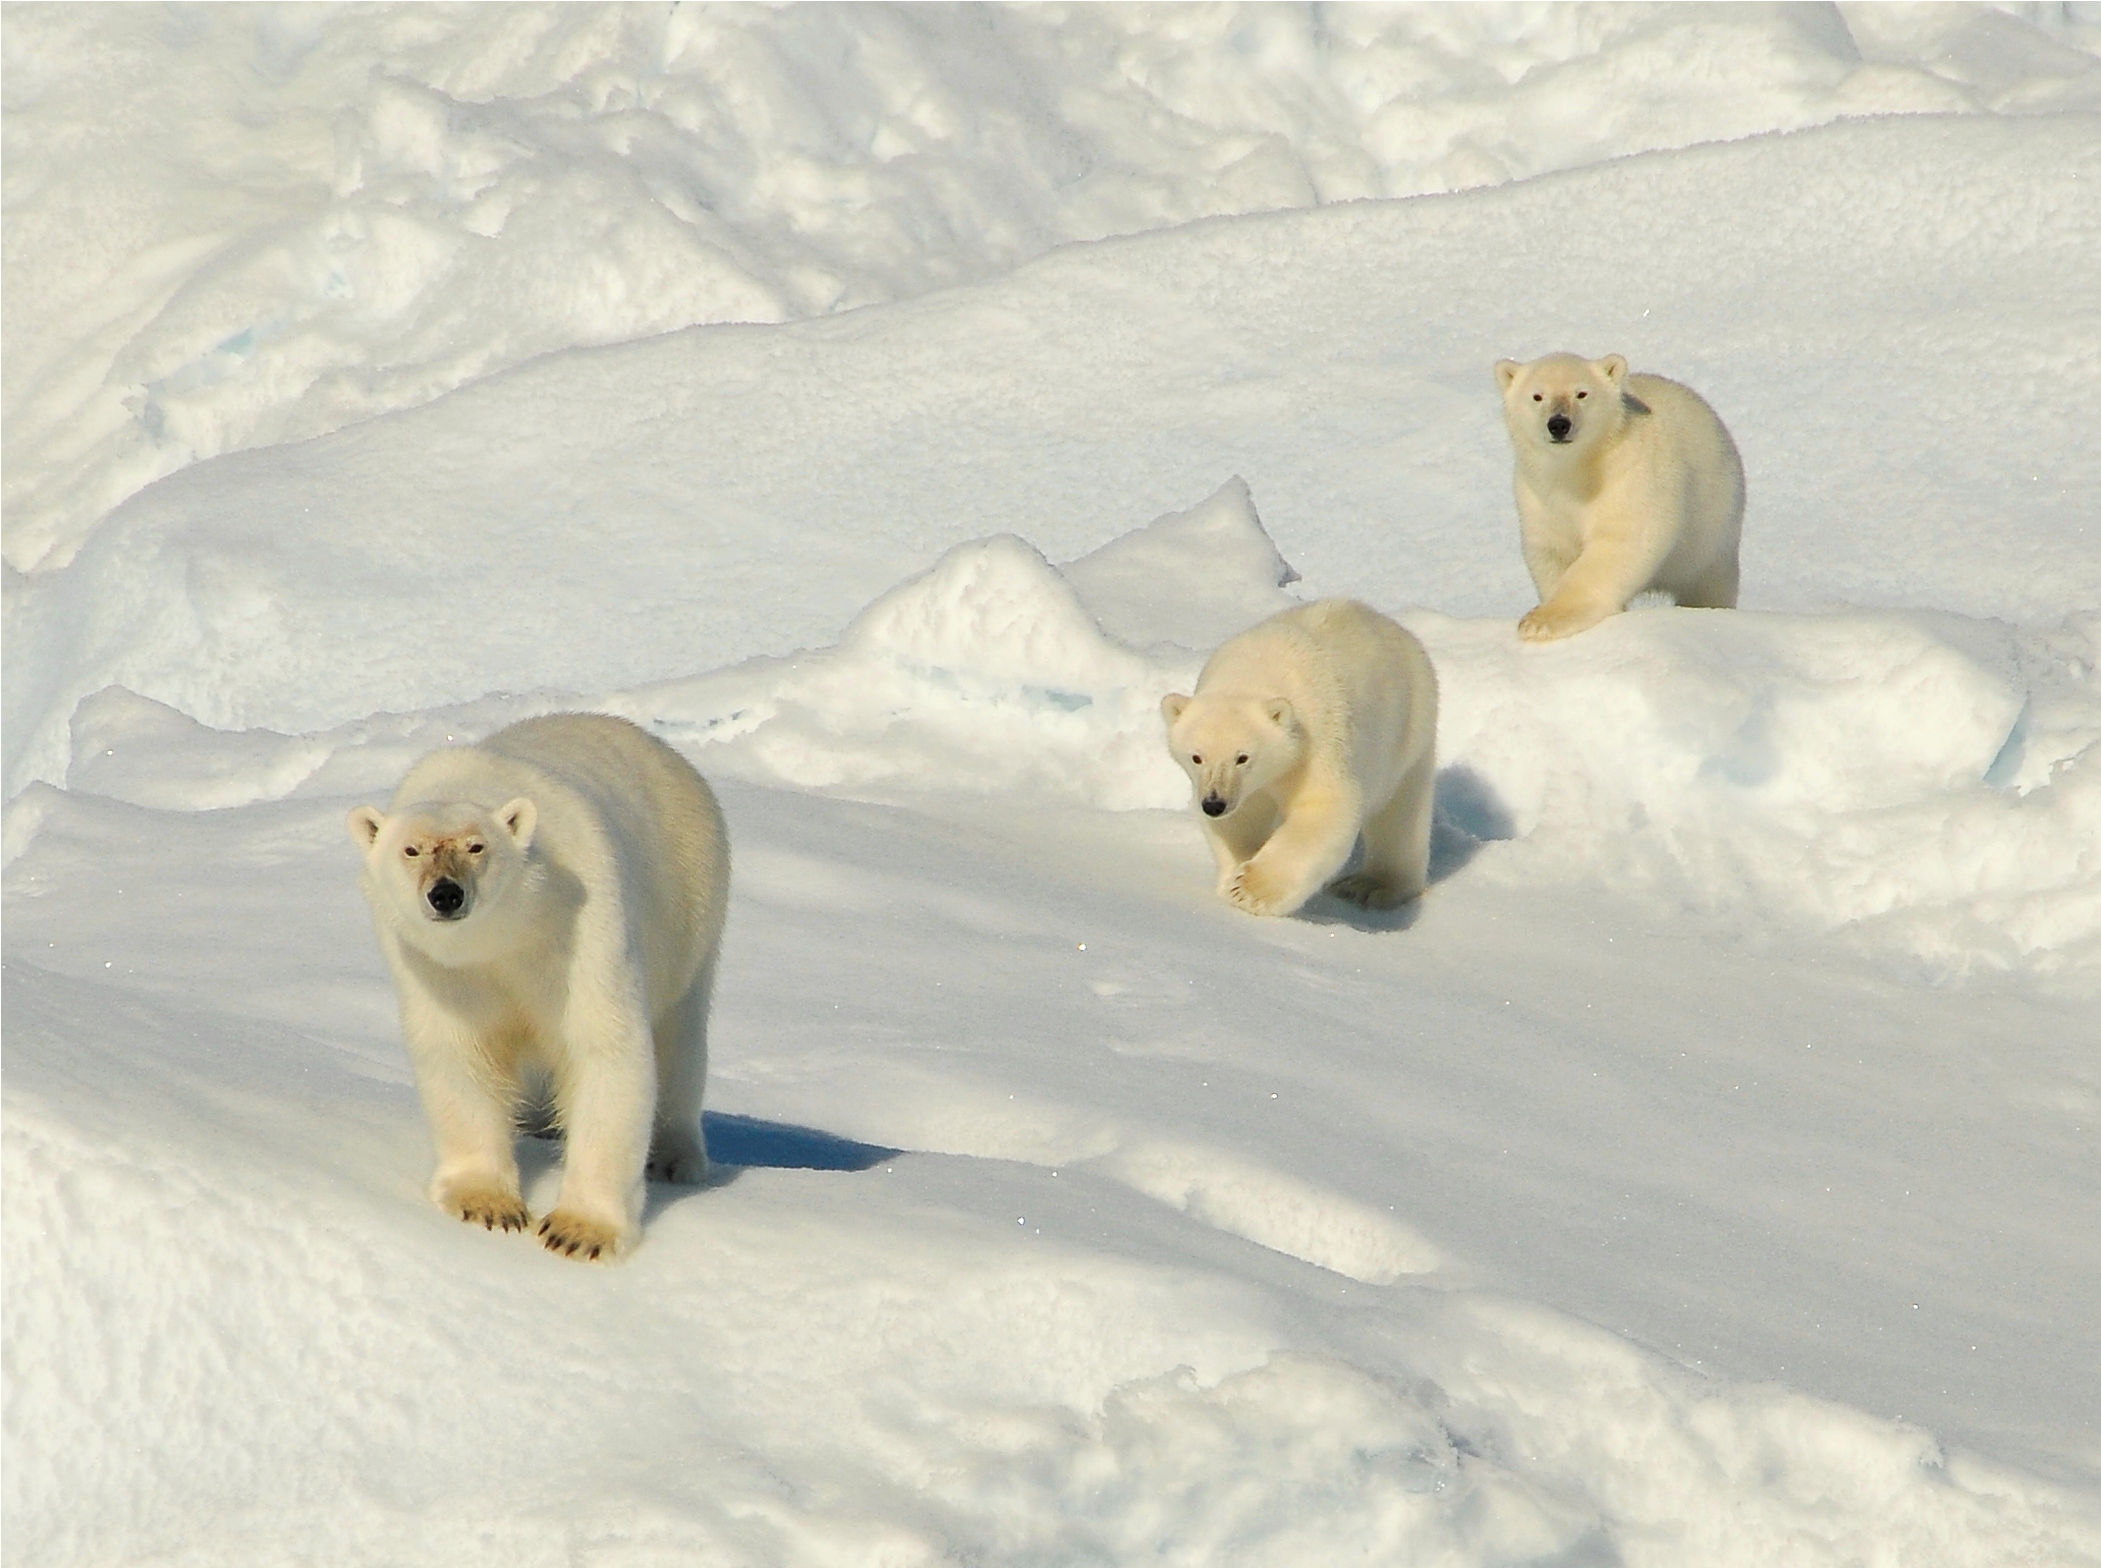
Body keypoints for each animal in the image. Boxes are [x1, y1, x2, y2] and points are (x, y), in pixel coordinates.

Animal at [347, 713, 729, 1261]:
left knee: (680, 1039)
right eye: (411, 849)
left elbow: (604, 1047)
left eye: (477, 846)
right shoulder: (439, 970)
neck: (508, 936)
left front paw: (580, 1230)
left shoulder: (580, 926)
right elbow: (458, 1053)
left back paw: (675, 1157)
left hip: (691, 910)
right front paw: (486, 1203)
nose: (446, 894)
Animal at [1161, 599, 1438, 918]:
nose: (1214, 804)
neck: (1253, 673)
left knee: (1401, 816)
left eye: (1243, 757)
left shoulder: (1317, 739)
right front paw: (1234, 875)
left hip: (1408, 735)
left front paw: (1249, 890)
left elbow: (1325, 808)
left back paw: (1371, 886)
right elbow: (1242, 818)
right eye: (1196, 757)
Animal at [1494, 352, 1745, 643]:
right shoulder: (1538, 496)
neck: (1579, 473)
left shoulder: (1631, 477)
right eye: (1537, 396)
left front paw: (1541, 622)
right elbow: (1552, 548)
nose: (1558, 424)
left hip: (1713, 536)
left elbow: (1620, 542)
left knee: (1708, 584)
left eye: (1582, 393)